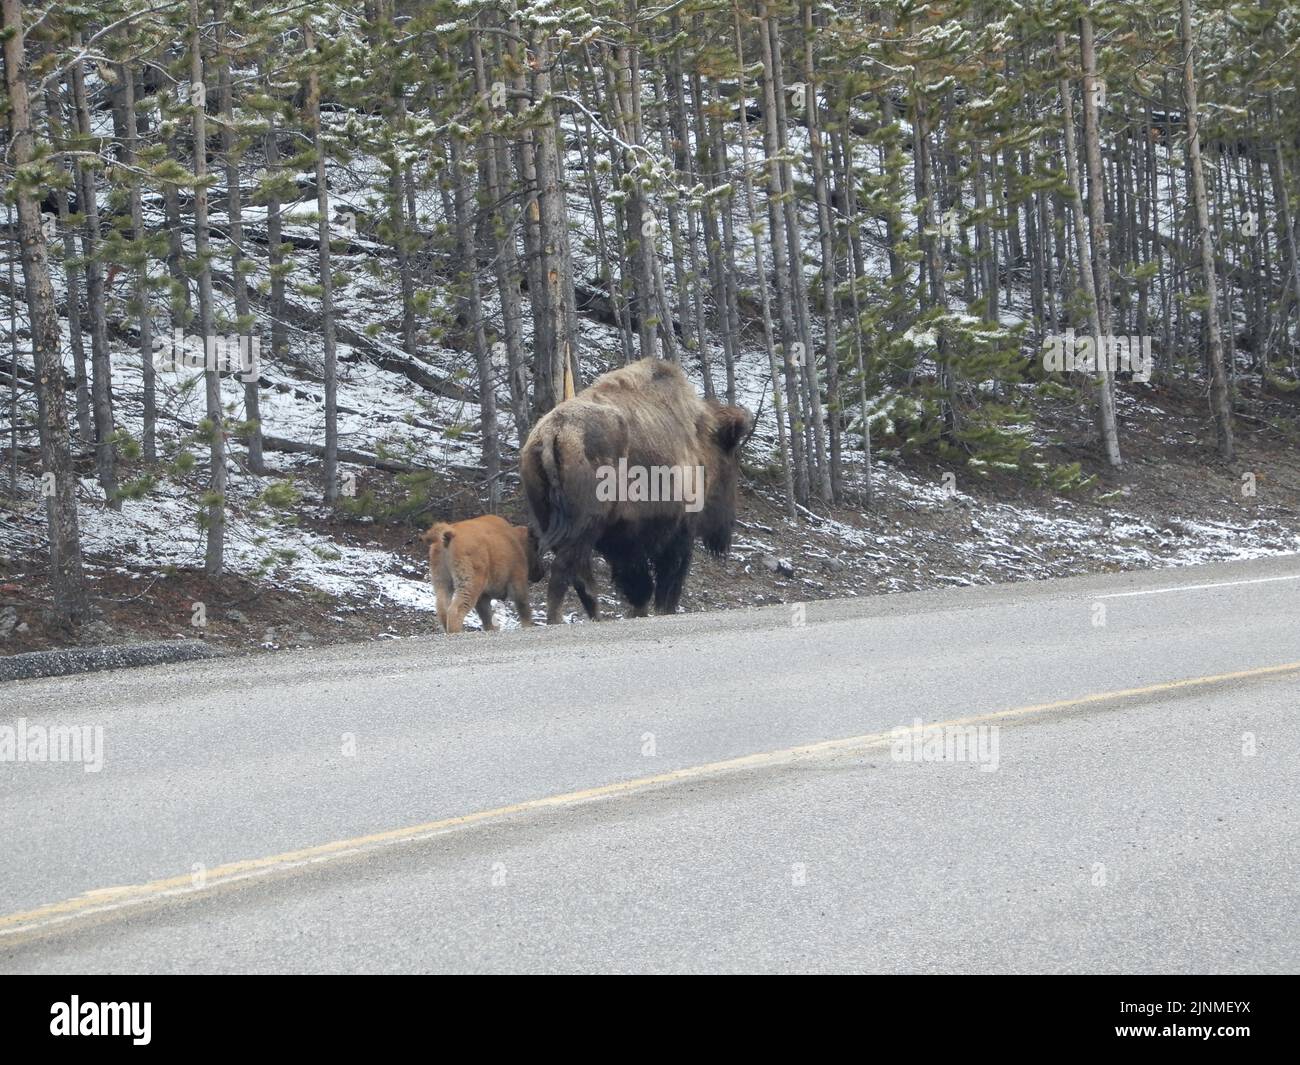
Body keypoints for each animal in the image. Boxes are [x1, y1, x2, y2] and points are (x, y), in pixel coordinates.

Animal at [521, 358, 753, 623]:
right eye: (730, 467)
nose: (725, 533)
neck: (699, 443)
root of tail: (555, 432)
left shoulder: (626, 544)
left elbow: (639, 587)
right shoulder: (677, 532)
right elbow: (665, 585)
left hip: (555, 522)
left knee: (581, 577)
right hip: (585, 527)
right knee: (566, 571)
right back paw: (557, 619)